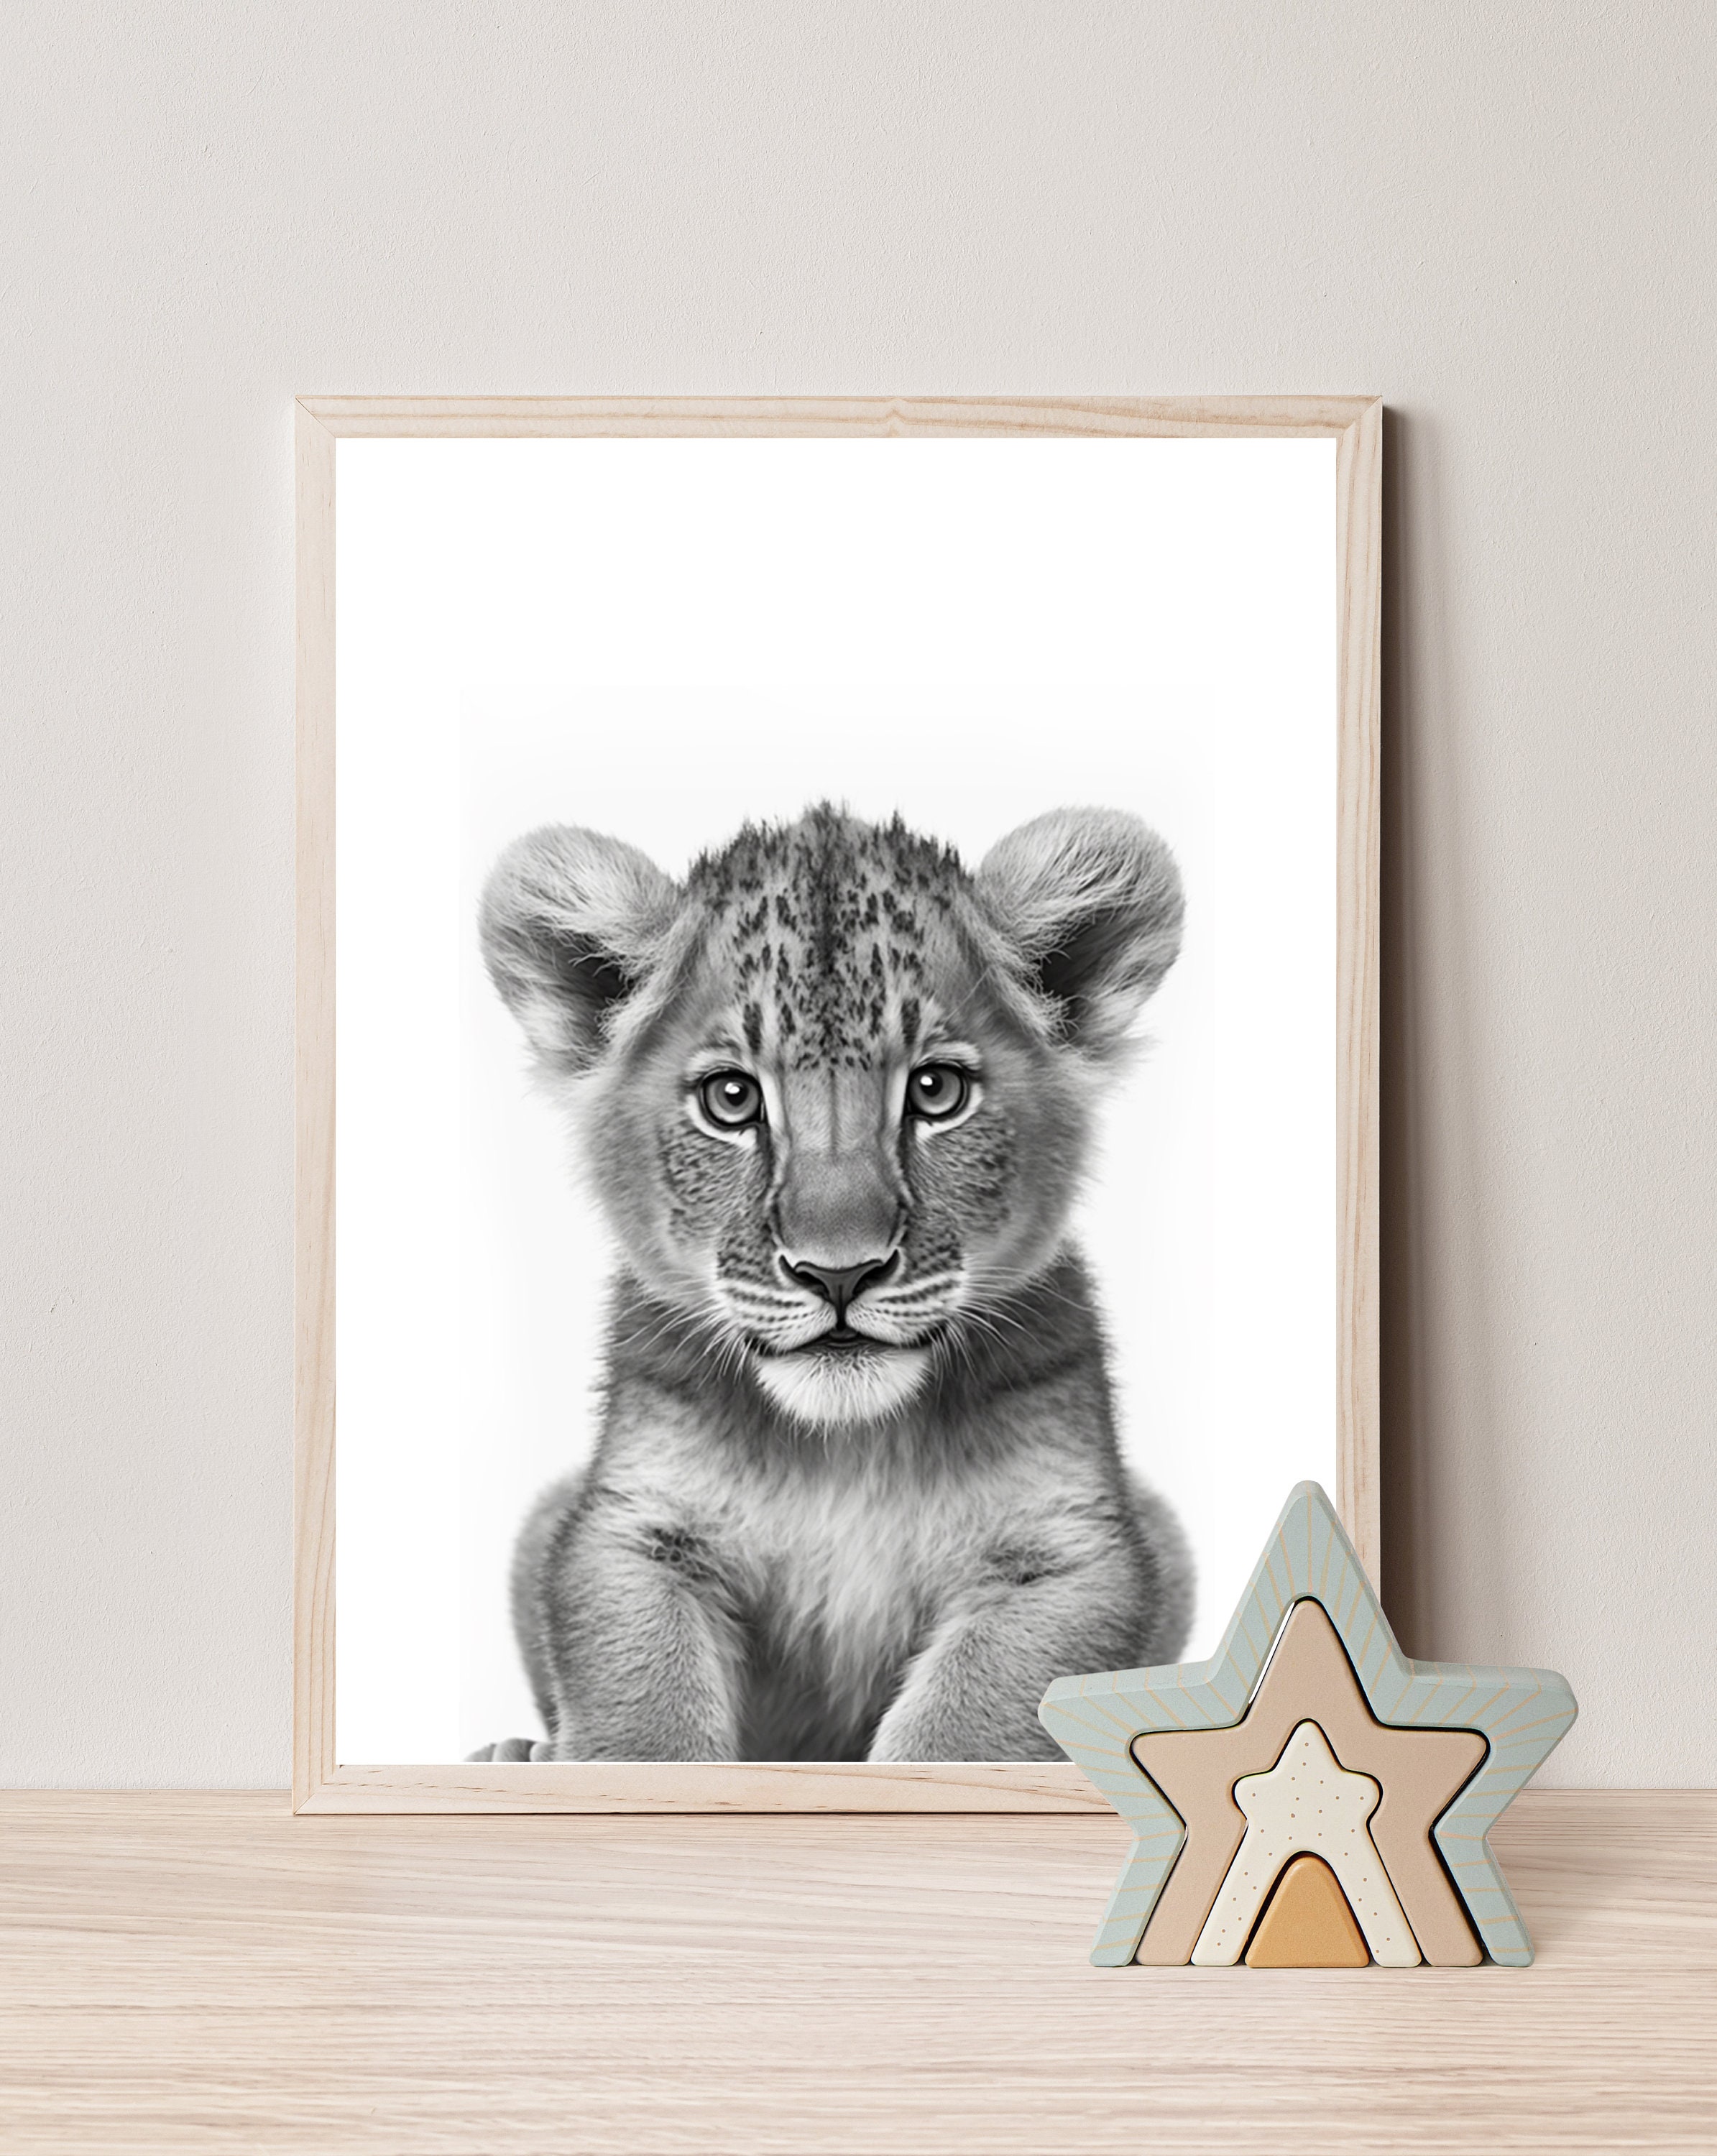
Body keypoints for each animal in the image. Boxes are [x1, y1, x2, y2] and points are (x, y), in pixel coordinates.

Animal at [469, 801, 1192, 1762]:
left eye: (937, 1090)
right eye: (732, 1099)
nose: (838, 1270)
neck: (847, 1448)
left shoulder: (1071, 1550)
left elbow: (966, 1730)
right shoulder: (637, 1526)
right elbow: (642, 1718)